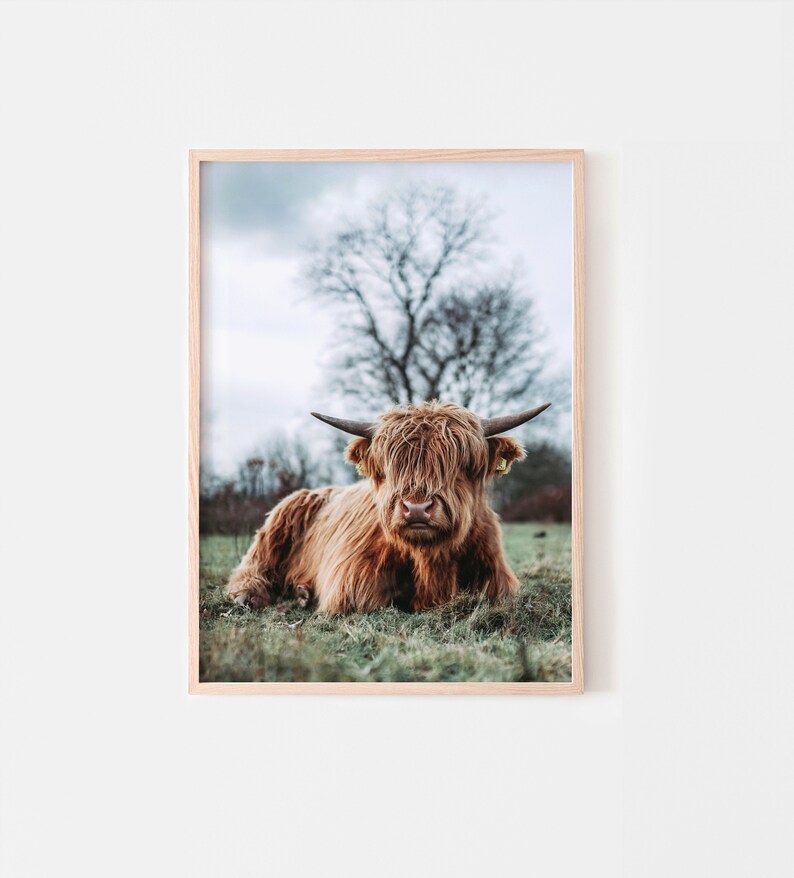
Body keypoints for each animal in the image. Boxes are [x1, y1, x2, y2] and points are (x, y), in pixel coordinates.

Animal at [226, 399, 550, 614]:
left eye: (462, 465)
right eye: (391, 466)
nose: (417, 508)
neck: (430, 562)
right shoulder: (353, 585)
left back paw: (302, 592)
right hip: (278, 523)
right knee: (254, 565)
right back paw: (250, 595)